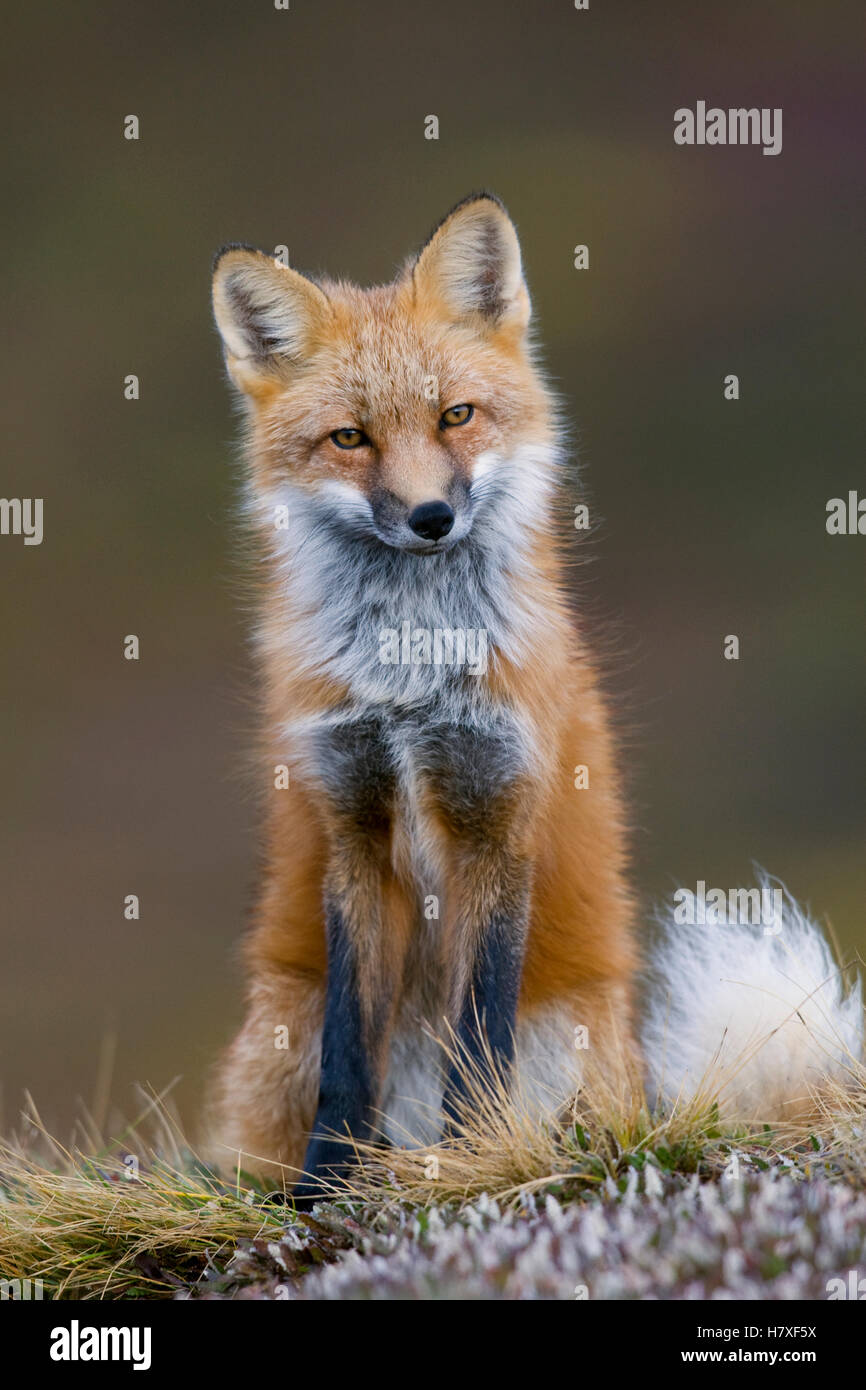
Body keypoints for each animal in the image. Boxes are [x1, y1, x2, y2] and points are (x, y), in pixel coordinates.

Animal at [208, 193, 862, 1202]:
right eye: (350, 438)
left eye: (456, 416)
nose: (431, 518)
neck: (412, 683)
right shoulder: (352, 825)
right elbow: (351, 1054)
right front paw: (326, 1190)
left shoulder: (498, 821)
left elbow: (480, 1035)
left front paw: (472, 1158)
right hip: (282, 1024)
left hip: (575, 1041)